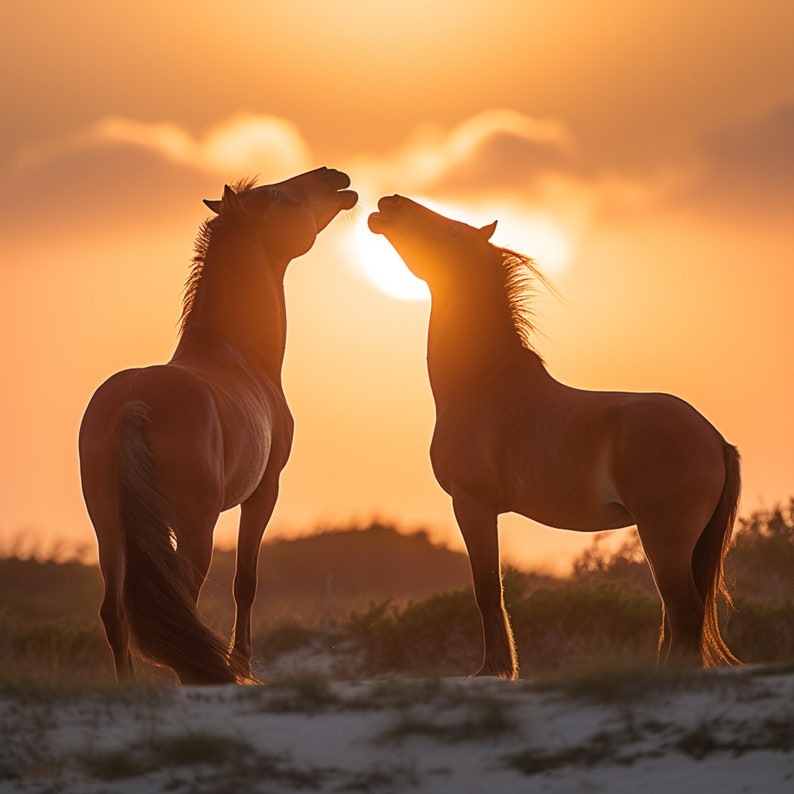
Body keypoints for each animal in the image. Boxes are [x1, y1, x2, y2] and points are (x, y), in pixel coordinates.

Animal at [79, 167, 357, 684]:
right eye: (278, 196)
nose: (336, 177)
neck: (235, 353)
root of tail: (132, 402)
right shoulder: (264, 491)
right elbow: (245, 581)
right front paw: (243, 666)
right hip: (195, 524)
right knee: (181, 600)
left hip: (108, 525)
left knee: (116, 613)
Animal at [369, 195, 741, 679]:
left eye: (451, 230)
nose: (388, 203)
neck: (481, 384)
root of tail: (715, 439)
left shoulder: (472, 505)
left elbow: (486, 590)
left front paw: (494, 669)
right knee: (676, 615)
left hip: (664, 537)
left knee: (684, 611)